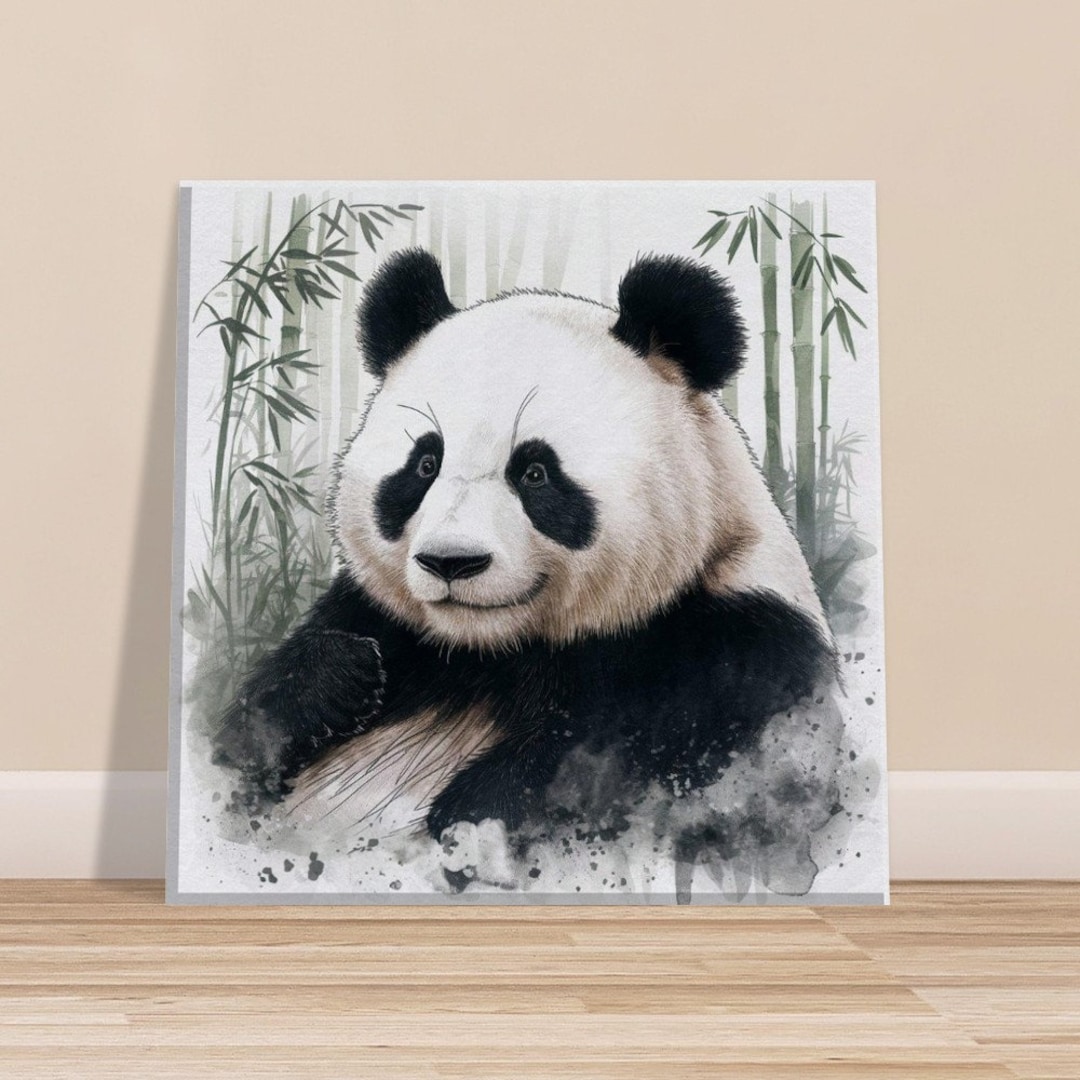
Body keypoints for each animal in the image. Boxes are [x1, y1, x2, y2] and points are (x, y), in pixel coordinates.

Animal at [213, 249, 837, 840]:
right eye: (425, 464)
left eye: (535, 473)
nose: (451, 561)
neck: (495, 656)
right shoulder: (382, 621)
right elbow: (240, 746)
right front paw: (337, 677)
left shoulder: (736, 656)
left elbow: (598, 768)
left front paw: (474, 814)